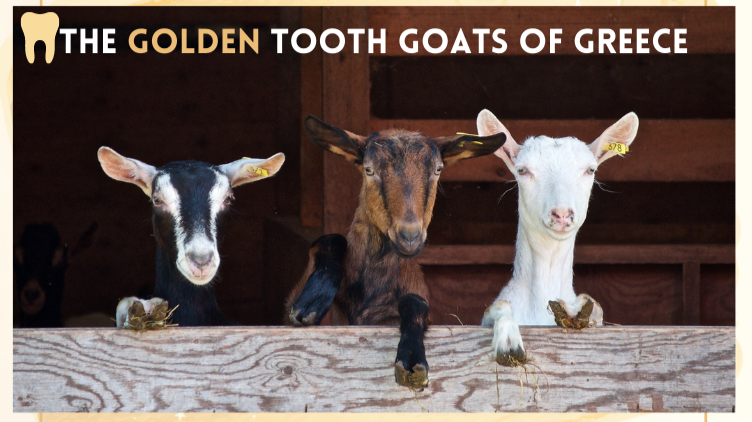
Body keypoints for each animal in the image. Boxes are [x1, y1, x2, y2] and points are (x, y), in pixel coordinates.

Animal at [477, 109, 638, 364]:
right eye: (522, 170)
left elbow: (595, 307)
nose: (562, 214)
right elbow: (498, 306)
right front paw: (508, 343)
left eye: (590, 170)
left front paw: (574, 310)